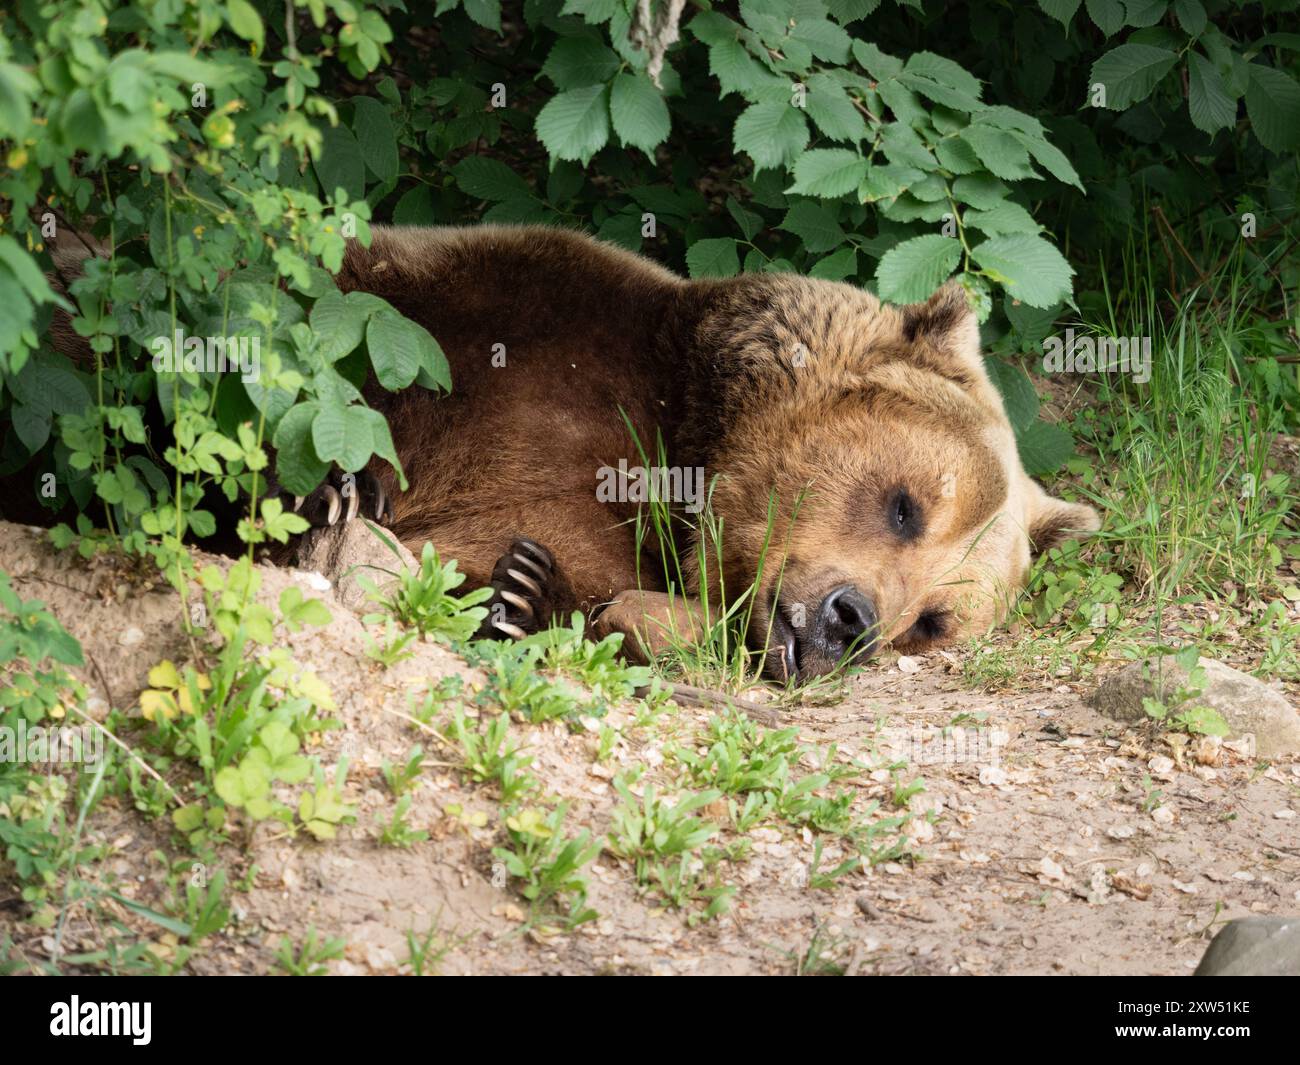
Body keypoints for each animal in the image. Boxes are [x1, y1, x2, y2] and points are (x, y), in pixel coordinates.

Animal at [304, 224, 1102, 681]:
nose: (852, 624)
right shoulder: (515, 316)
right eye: (906, 506)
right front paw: (350, 488)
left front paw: (529, 589)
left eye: (934, 622)